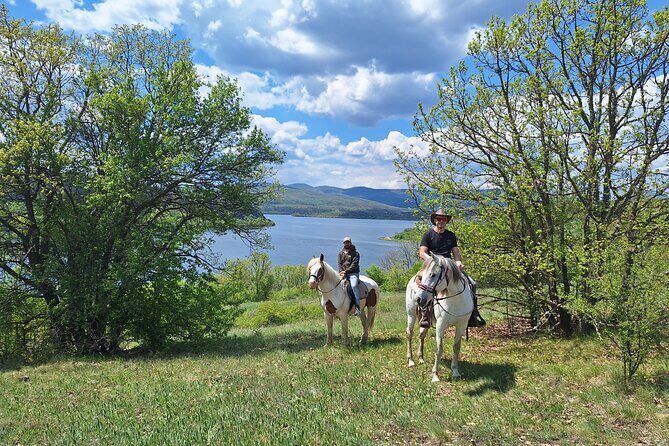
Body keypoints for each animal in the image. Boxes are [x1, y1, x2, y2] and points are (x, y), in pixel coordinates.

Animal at [405, 254, 474, 382]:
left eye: (433, 275)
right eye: (422, 276)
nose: (418, 299)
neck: (455, 301)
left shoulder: (461, 325)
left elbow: (456, 347)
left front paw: (455, 372)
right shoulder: (440, 326)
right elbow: (439, 350)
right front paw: (435, 376)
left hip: (425, 322)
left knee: (421, 335)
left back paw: (421, 358)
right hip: (411, 314)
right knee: (409, 334)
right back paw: (411, 361)